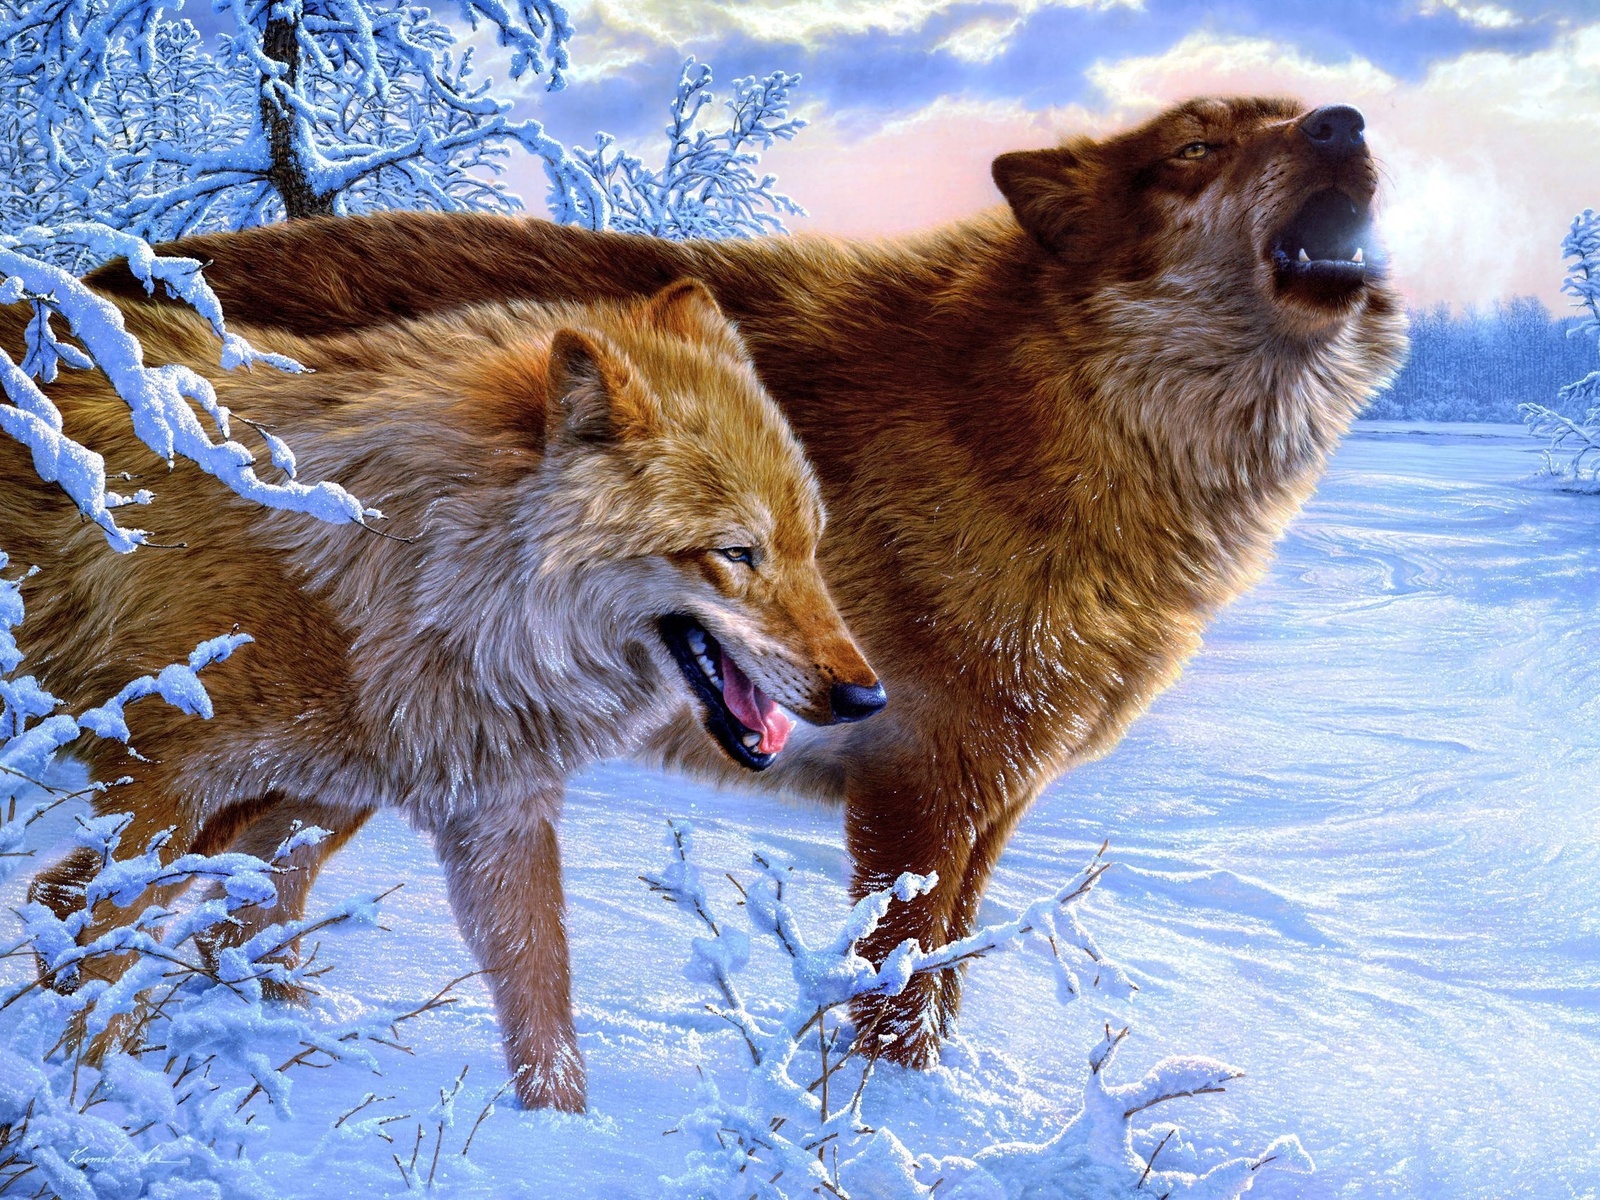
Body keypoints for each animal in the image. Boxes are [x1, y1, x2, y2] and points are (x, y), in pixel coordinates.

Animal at [3, 280, 885, 1111]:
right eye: (737, 552)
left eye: (810, 546)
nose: (866, 697)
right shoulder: (157, 787)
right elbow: (101, 951)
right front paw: (84, 1101)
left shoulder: (495, 811)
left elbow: (541, 998)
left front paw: (556, 1136)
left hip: (313, 802)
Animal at [89, 96, 1410, 1066]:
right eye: (1195, 147)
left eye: (1288, 114)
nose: (1344, 120)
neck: (1062, 418)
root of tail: (100, 273)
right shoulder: (920, 789)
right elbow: (894, 996)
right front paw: (885, 1126)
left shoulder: (996, 798)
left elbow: (944, 984)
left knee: (235, 910)